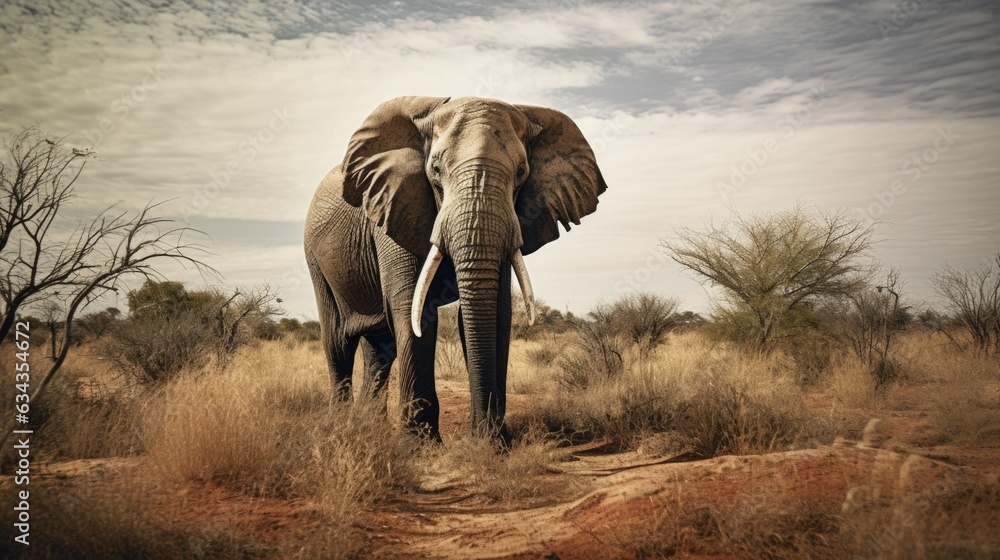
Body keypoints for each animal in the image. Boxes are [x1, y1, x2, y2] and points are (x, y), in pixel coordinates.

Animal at [304, 96, 607, 442]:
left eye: (521, 173)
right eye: (435, 170)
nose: (481, 435)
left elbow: (495, 313)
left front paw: (493, 442)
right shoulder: (395, 204)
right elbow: (414, 311)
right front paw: (419, 446)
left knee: (379, 349)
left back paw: (369, 429)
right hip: (315, 257)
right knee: (338, 342)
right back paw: (342, 428)